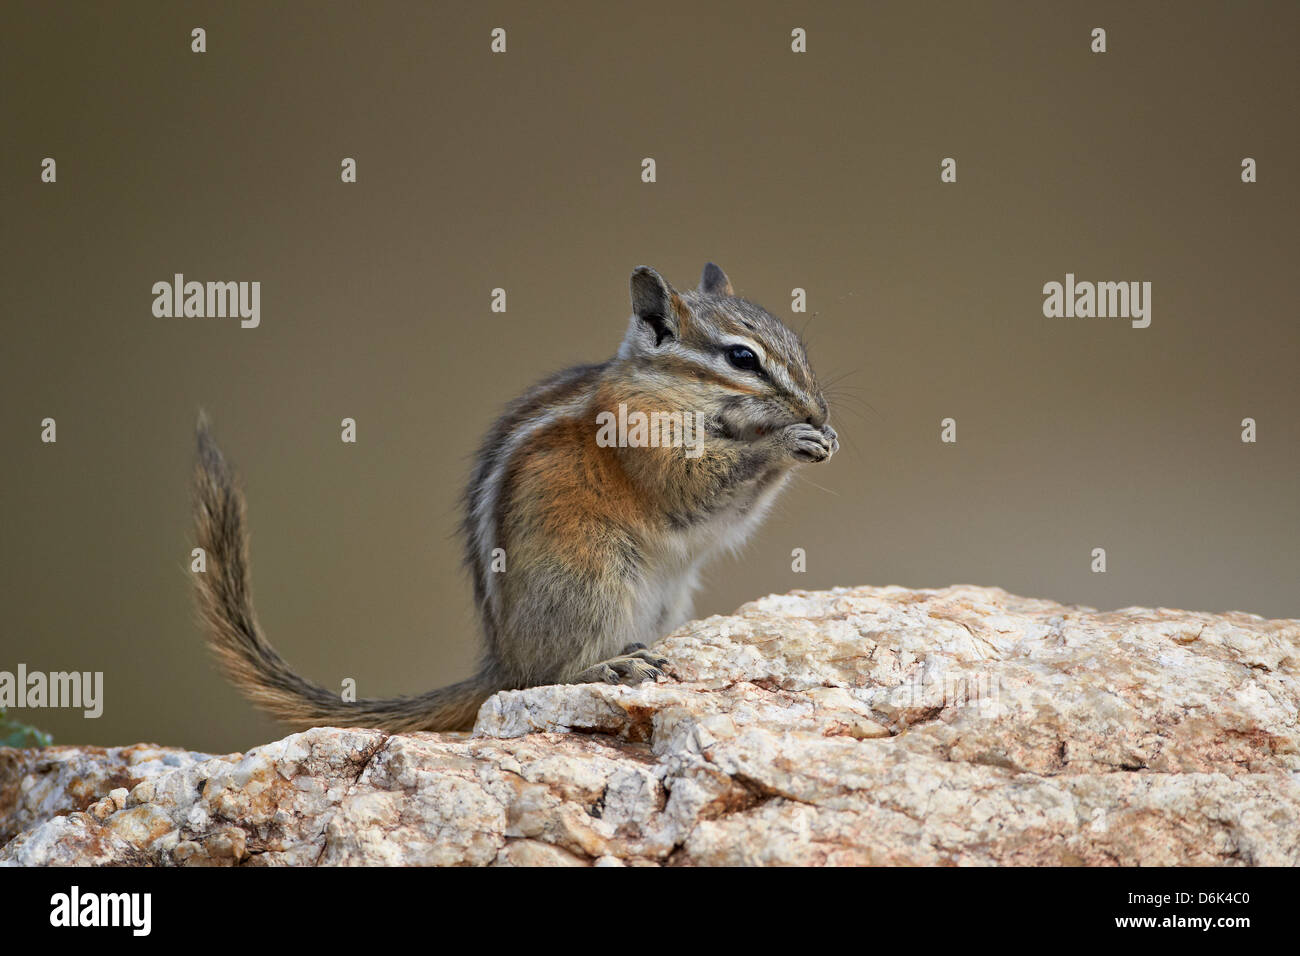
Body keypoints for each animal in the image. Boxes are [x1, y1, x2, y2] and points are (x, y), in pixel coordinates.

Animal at [192, 262, 838, 732]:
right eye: (742, 357)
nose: (817, 411)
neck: (668, 390)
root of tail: (501, 662)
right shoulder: (646, 446)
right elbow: (695, 488)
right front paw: (786, 441)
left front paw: (821, 437)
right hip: (590, 580)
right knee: (547, 677)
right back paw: (610, 663)